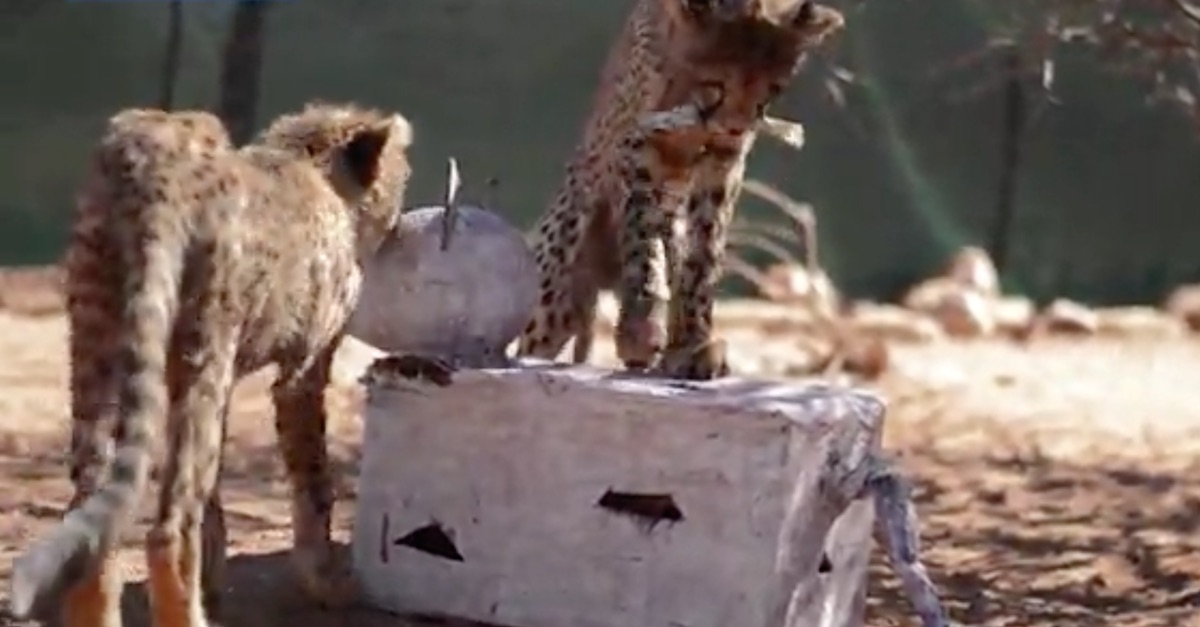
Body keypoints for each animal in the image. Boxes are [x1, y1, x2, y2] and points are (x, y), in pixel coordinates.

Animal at [8, 101, 438, 627]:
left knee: (94, 504)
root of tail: (156, 153)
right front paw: (326, 581)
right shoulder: (300, 373)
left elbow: (210, 498)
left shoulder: (224, 376)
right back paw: (189, 615)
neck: (312, 163)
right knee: (167, 529)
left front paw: (212, 577)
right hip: (201, 353)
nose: (399, 220)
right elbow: (313, 480)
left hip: (99, 348)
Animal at [515, 0, 844, 379]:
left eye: (770, 90)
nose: (734, 127)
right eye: (718, 84)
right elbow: (643, 240)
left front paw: (693, 344)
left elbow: (703, 254)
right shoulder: (635, 147)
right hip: (558, 277)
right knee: (533, 338)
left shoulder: (723, 164)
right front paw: (641, 332)